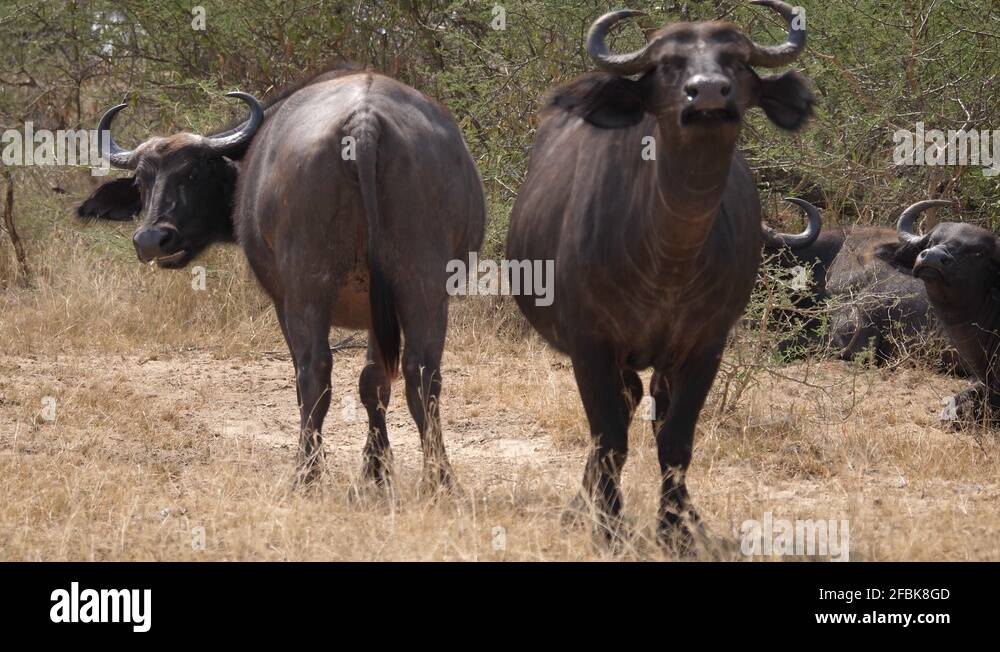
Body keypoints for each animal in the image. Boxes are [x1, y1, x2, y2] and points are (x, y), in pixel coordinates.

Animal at [77, 66, 486, 489]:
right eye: (142, 182)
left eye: (192, 173)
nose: (151, 239)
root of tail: (364, 123)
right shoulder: (378, 314)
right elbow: (374, 382)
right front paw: (375, 470)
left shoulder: (282, 300)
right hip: (425, 288)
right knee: (422, 374)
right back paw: (440, 478)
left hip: (308, 289)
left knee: (314, 373)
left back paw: (305, 473)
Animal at [506, 1, 817, 545]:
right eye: (669, 64)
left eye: (736, 60)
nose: (708, 91)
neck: (668, 257)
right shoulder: (590, 343)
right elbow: (609, 436)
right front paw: (607, 527)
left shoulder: (705, 347)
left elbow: (675, 439)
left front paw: (675, 529)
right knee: (621, 413)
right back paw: (582, 507)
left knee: (645, 407)